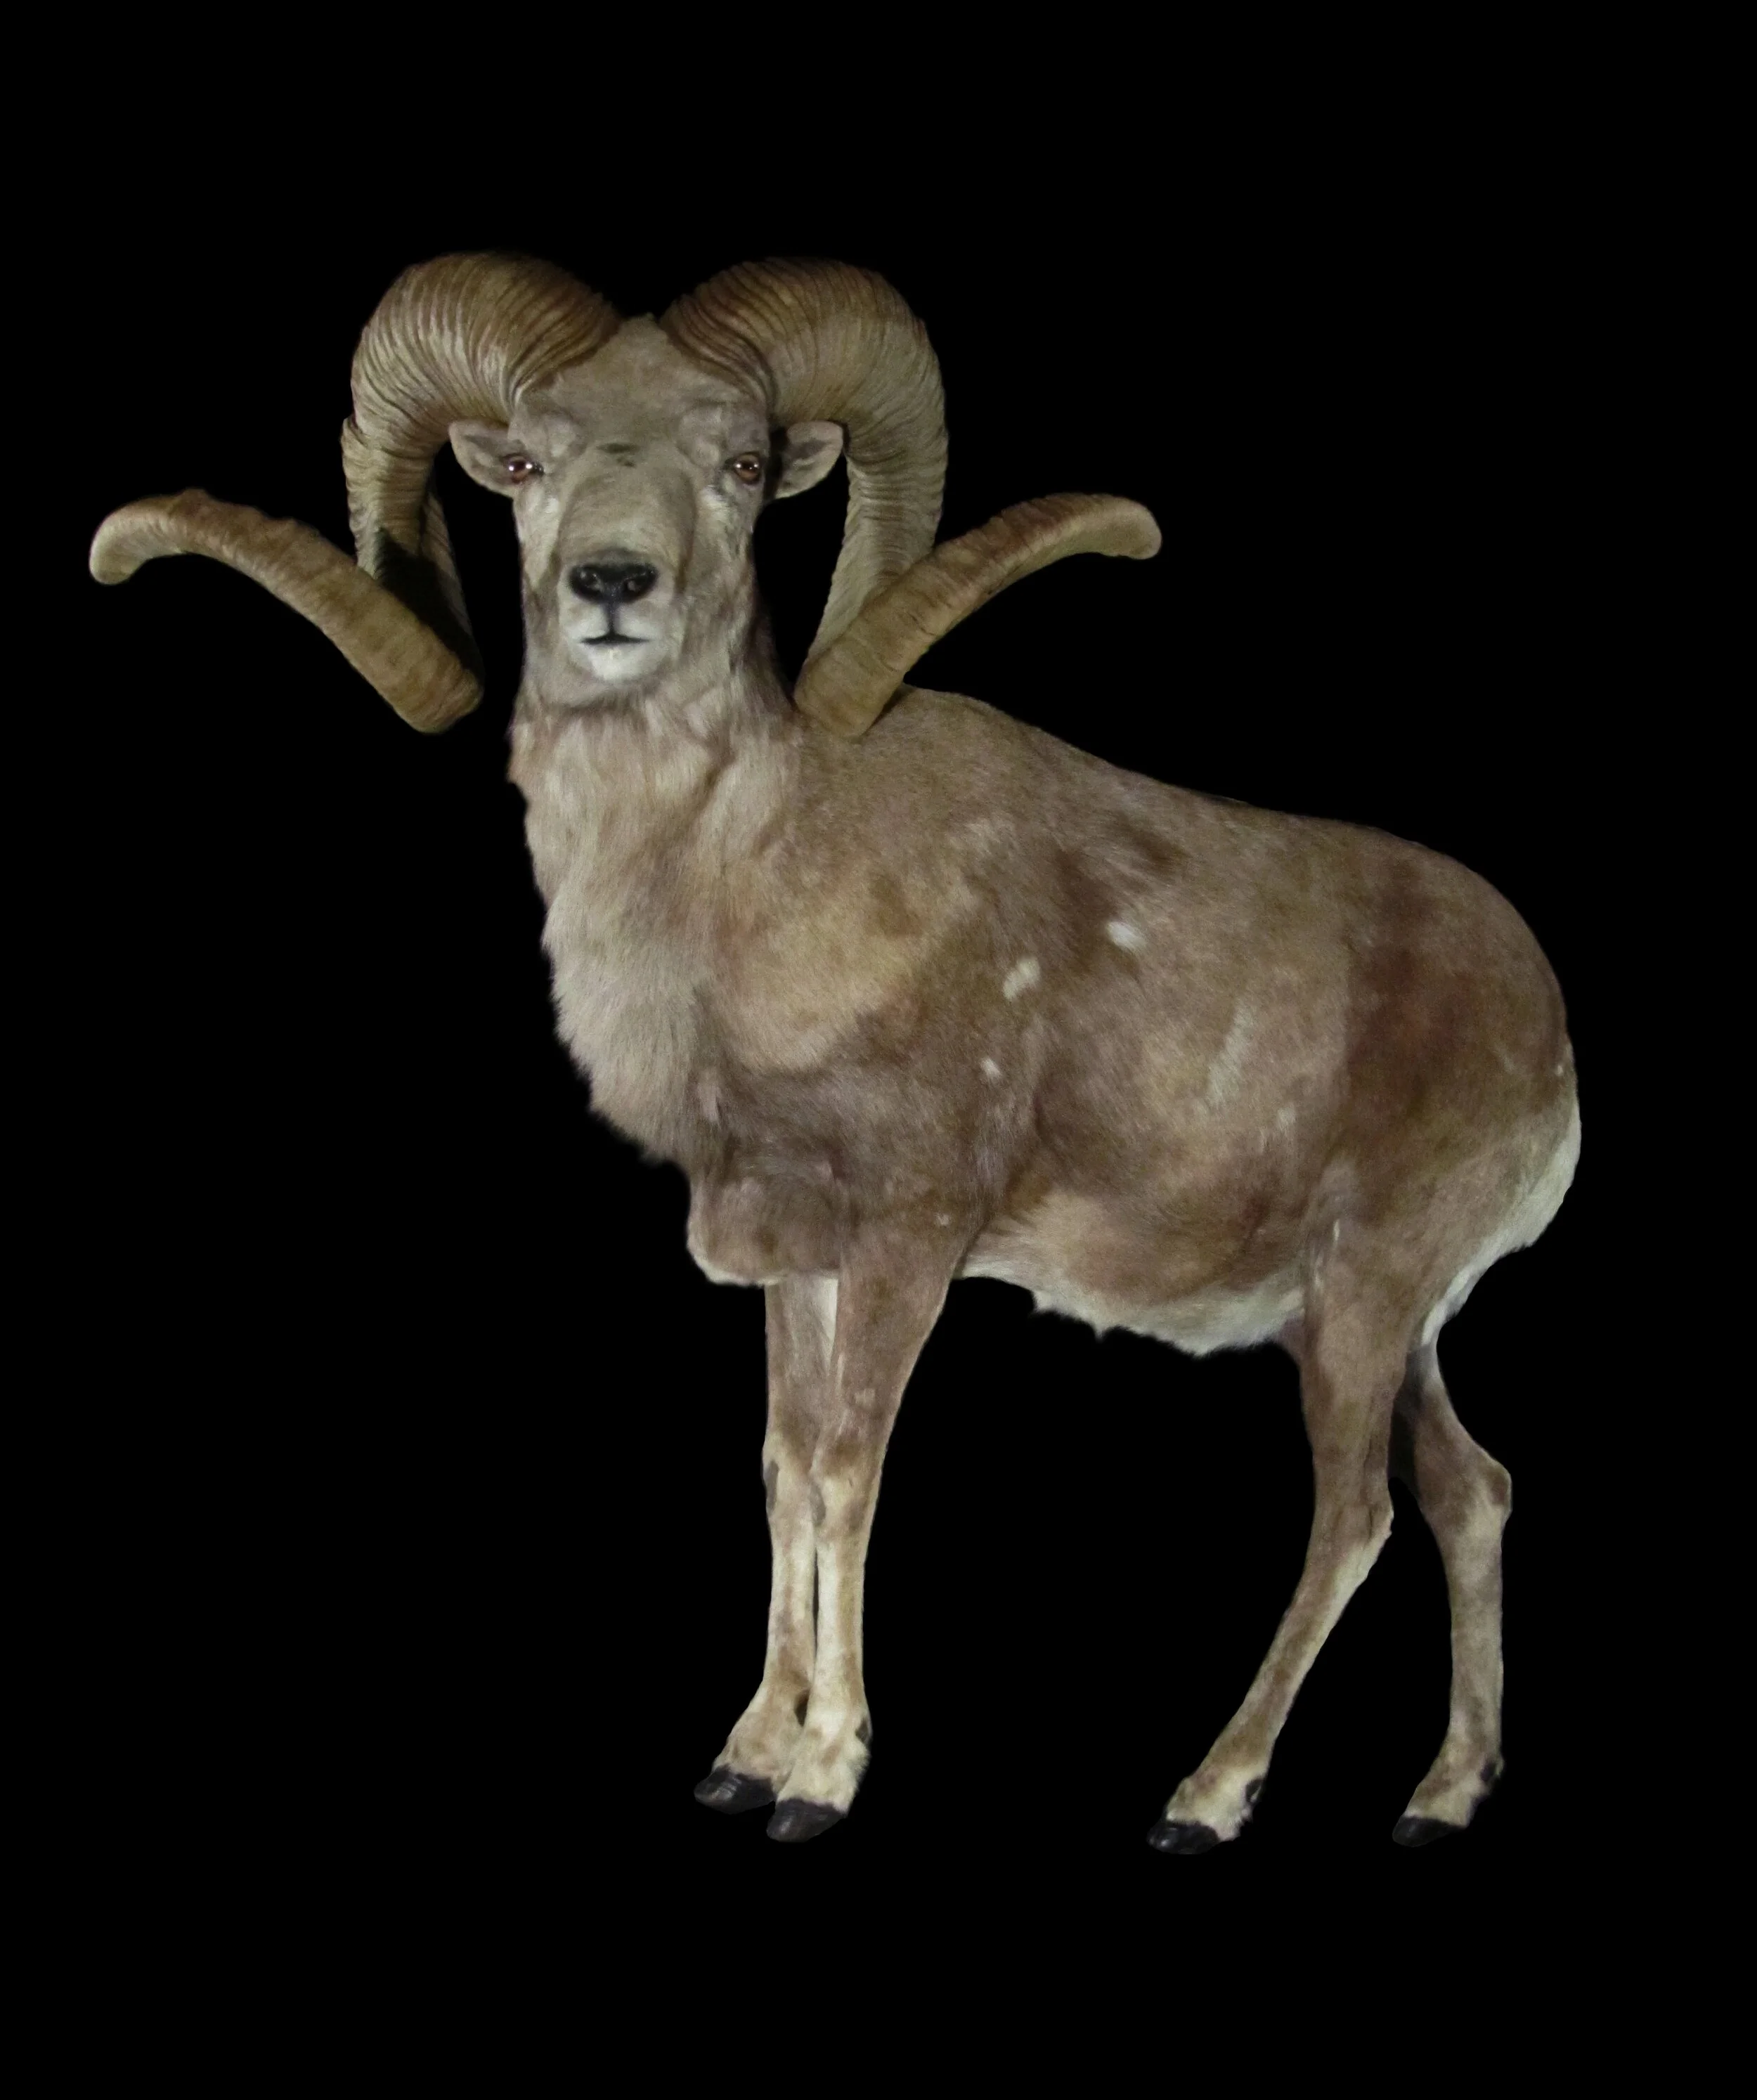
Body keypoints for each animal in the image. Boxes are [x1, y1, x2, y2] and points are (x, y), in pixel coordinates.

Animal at [90, 251, 1579, 1851]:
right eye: (532, 464)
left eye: (741, 466)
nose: (611, 587)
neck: (741, 886)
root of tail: (1547, 1031)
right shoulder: (791, 1265)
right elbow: (786, 1474)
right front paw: (742, 1753)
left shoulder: (907, 1243)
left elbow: (856, 1472)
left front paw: (820, 1777)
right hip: (1383, 1326)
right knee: (1471, 1490)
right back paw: (1441, 1796)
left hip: (1364, 1307)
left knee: (1356, 1515)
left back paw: (1207, 1795)